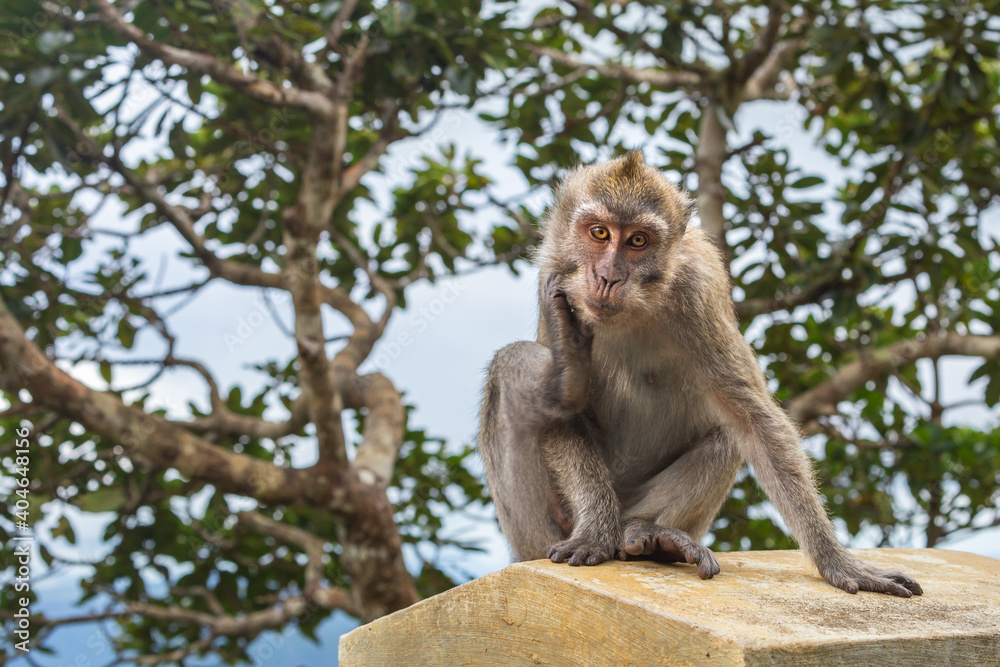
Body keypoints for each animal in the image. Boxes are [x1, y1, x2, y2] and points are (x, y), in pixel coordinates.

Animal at [478, 151, 923, 597]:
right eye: (599, 233)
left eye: (638, 241)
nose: (607, 277)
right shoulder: (552, 277)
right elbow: (563, 419)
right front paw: (594, 531)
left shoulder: (699, 290)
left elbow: (756, 422)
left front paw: (838, 562)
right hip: (536, 535)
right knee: (508, 369)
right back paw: (565, 381)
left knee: (728, 434)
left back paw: (645, 535)